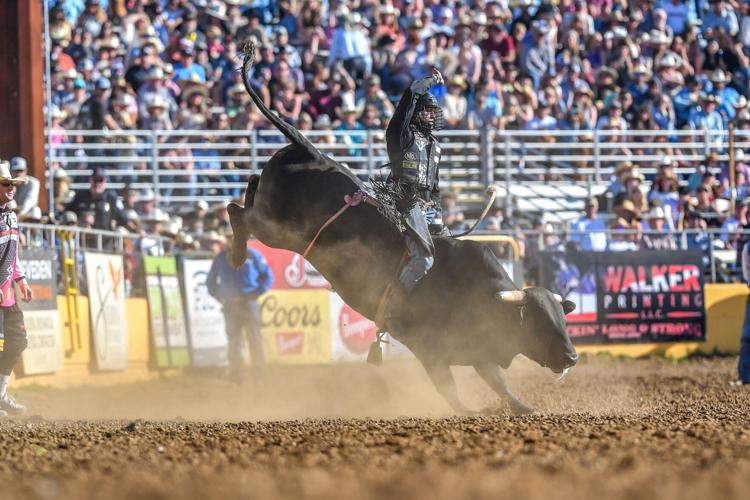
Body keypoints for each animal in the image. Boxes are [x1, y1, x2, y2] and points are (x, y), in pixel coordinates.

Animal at [228, 45, 578, 415]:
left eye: (561, 316)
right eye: (539, 321)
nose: (572, 357)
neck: (480, 294)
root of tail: (312, 152)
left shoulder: (478, 349)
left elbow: (497, 381)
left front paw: (524, 408)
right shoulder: (429, 349)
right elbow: (448, 387)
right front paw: (469, 411)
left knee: (249, 188)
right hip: (276, 228)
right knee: (239, 214)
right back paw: (236, 255)